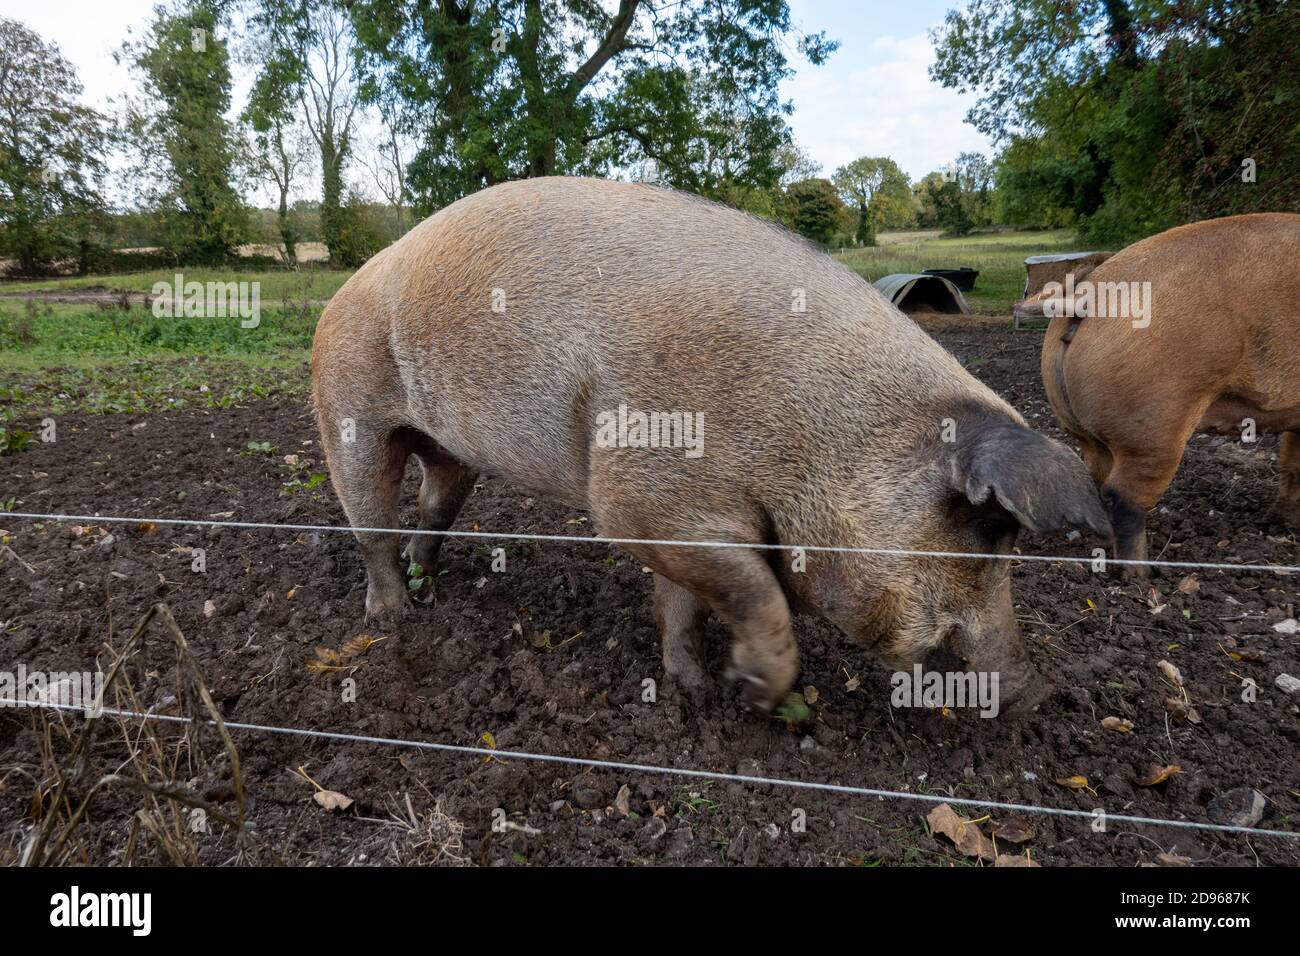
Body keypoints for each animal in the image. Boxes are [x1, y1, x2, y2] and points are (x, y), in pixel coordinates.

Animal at [312, 177, 1110, 714]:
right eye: (985, 528)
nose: (1038, 693)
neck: (815, 435)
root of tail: (344, 289)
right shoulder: (640, 498)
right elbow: (752, 590)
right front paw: (757, 694)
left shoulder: (682, 512)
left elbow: (685, 602)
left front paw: (691, 687)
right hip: (347, 408)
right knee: (370, 521)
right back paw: (392, 618)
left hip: (449, 447)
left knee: (434, 503)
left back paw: (425, 582)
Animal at [1039, 213, 1300, 571]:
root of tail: (1092, 291)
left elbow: (1292, 461)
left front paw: (1281, 523)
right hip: (1153, 424)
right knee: (1123, 497)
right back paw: (1140, 574)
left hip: (1084, 428)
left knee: (1098, 481)